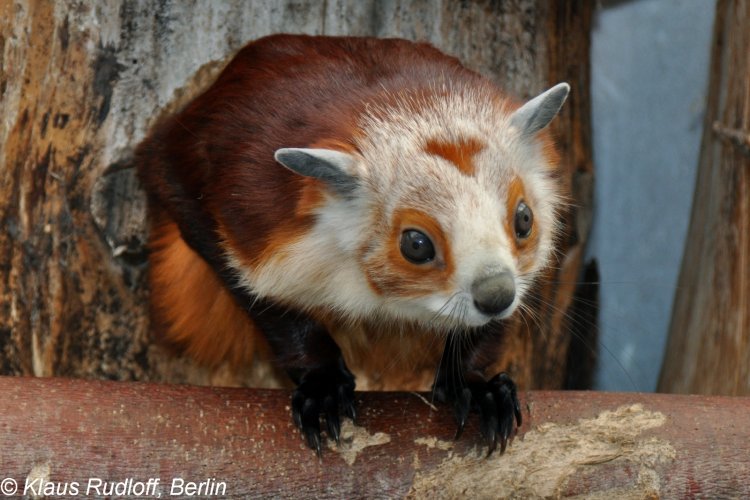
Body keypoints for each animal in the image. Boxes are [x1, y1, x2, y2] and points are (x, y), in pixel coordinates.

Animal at [136, 34, 569, 456]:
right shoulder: (230, 212)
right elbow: (270, 305)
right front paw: (323, 384)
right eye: (416, 244)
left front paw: (476, 387)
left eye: (524, 220)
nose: (495, 295)